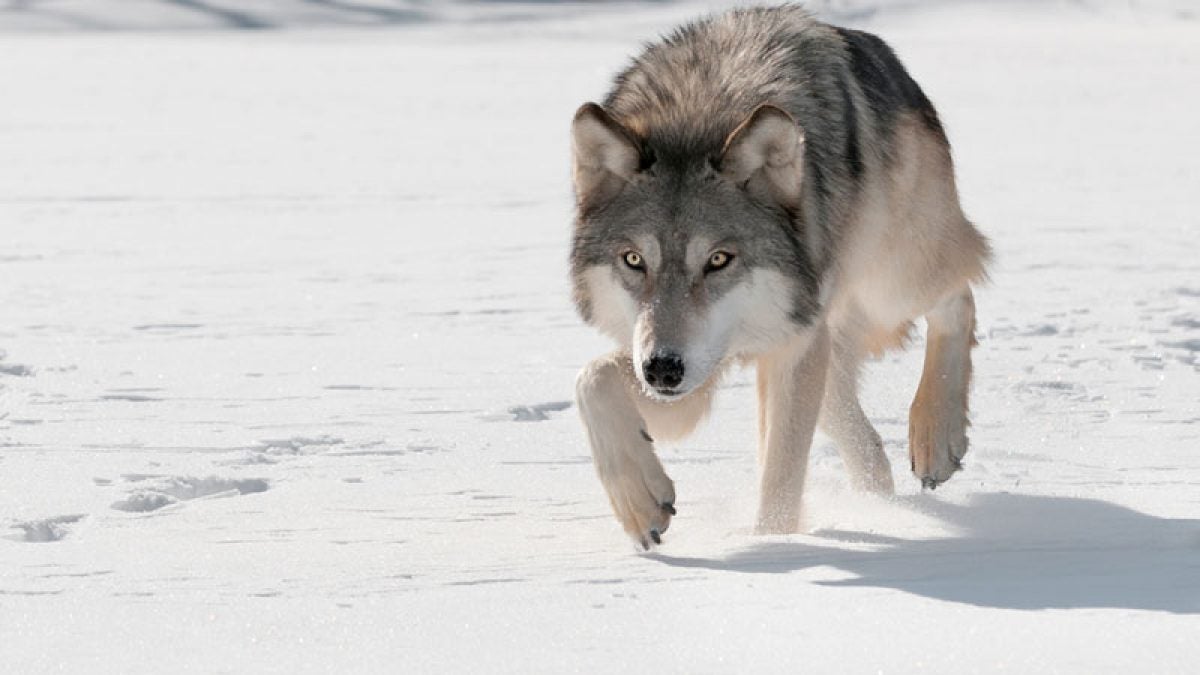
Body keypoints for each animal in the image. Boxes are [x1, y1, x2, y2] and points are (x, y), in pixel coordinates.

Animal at [570, 5, 990, 548]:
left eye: (719, 259)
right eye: (634, 260)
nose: (662, 369)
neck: (698, 114)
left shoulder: (785, 346)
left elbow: (782, 474)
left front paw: (773, 545)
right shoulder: (691, 372)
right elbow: (592, 379)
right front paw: (640, 504)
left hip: (890, 283)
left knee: (960, 294)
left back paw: (935, 439)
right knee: (855, 428)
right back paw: (879, 498)